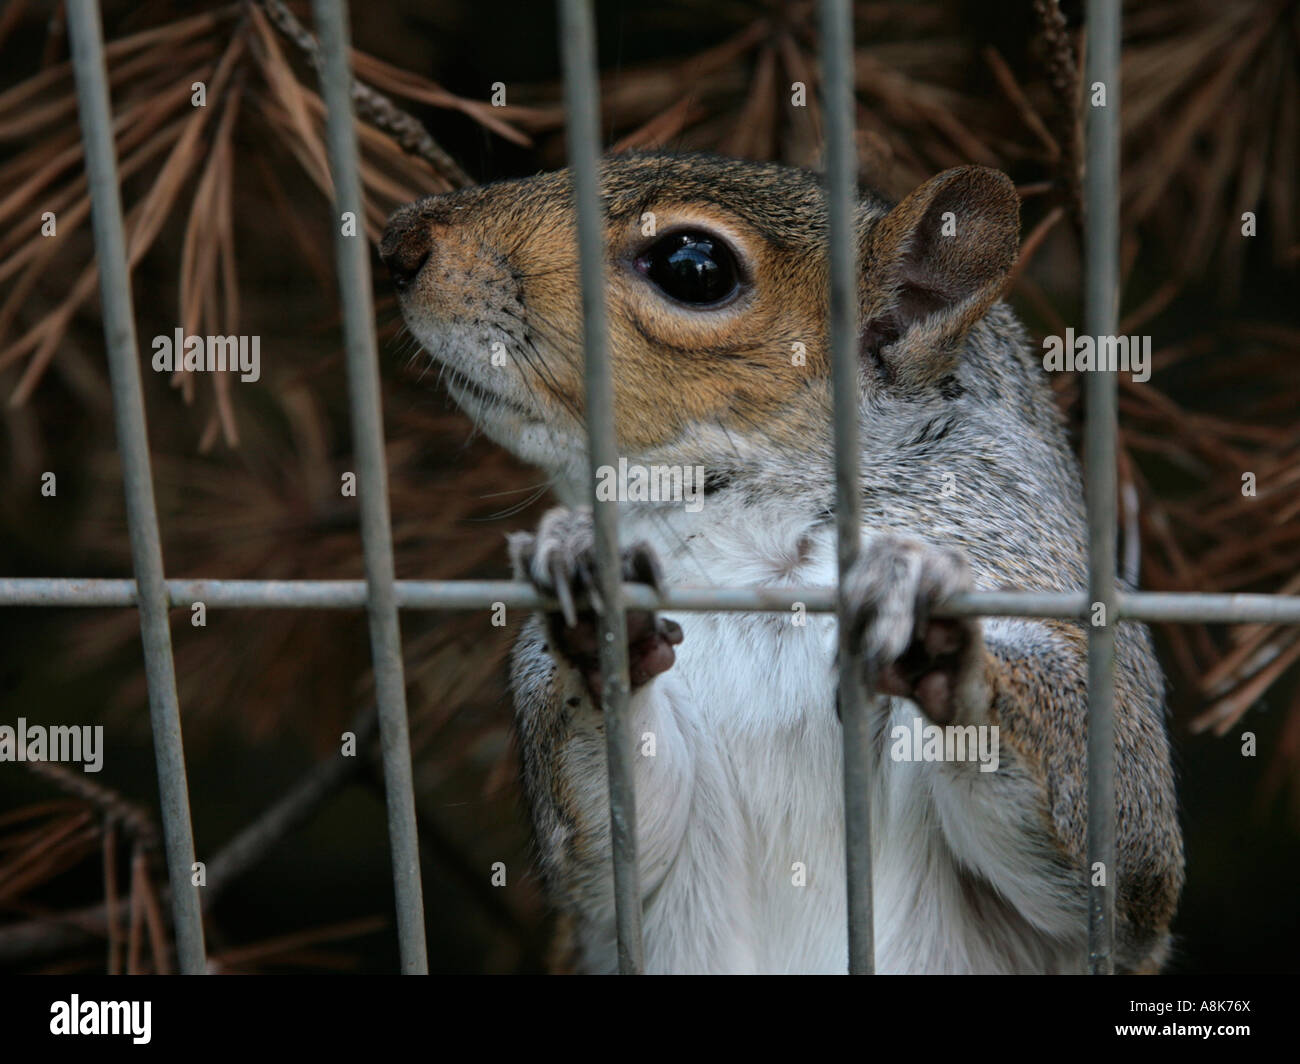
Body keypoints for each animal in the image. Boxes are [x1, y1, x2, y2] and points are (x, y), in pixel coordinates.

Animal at [380, 152, 1184, 974]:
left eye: (693, 267)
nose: (401, 242)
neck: (756, 547)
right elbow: (614, 847)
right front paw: (594, 608)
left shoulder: (1039, 570)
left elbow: (1122, 861)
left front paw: (939, 633)